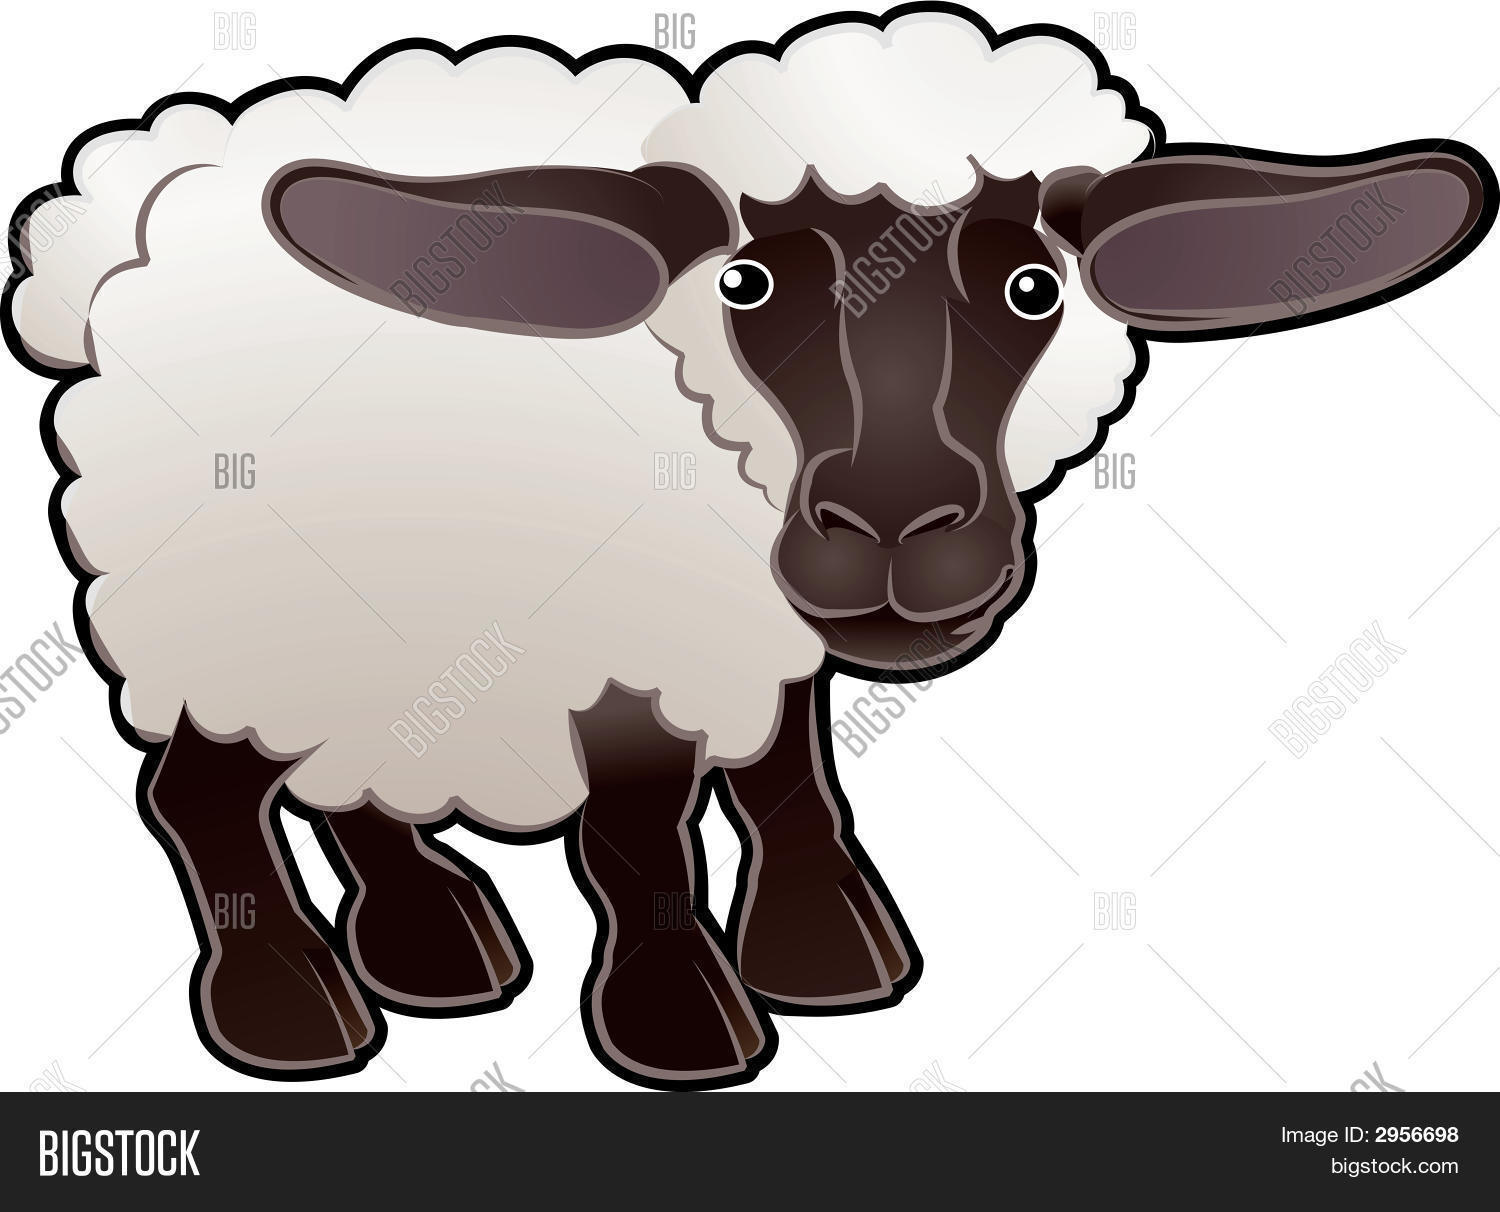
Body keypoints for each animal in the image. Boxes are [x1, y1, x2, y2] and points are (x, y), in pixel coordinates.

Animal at [4, 5, 1493, 1091]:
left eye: (1036, 286)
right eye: (745, 279)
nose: (893, 532)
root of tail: (137, 200)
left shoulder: (755, 636)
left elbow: (792, 785)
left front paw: (830, 957)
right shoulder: (624, 645)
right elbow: (639, 838)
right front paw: (682, 1029)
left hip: (367, 628)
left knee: (348, 775)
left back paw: (434, 946)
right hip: (210, 619)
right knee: (199, 795)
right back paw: (291, 1019)